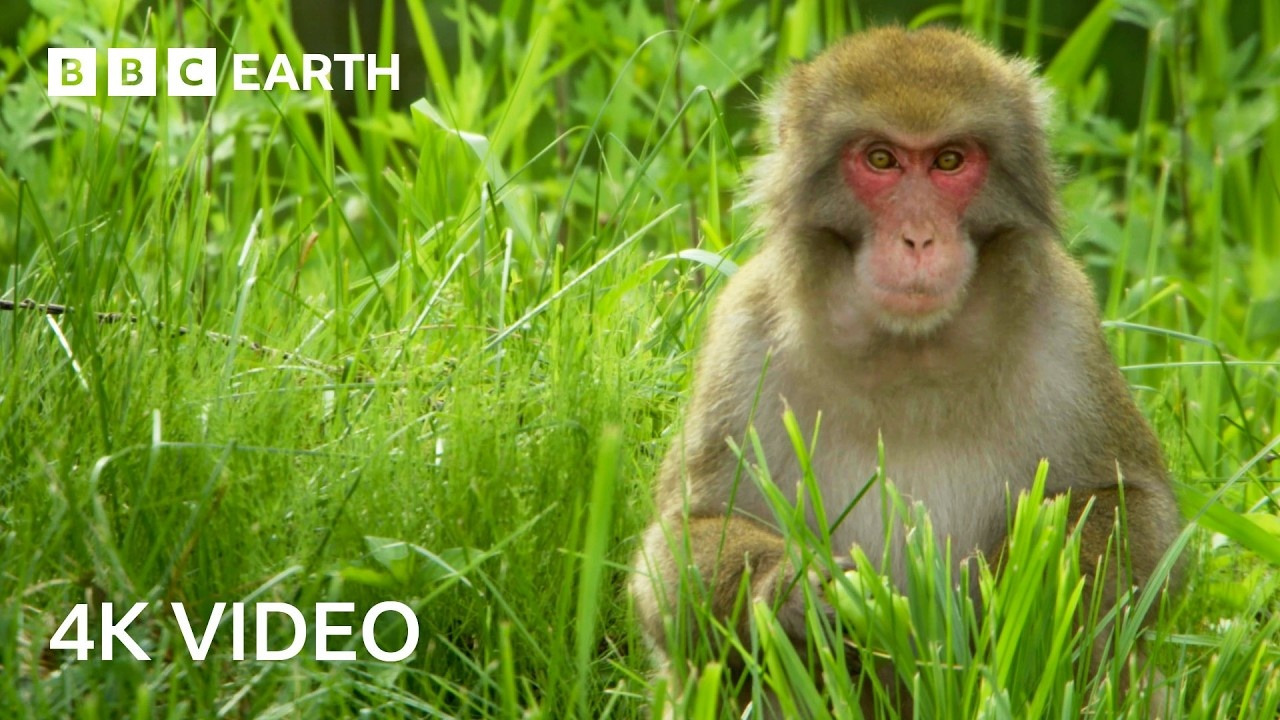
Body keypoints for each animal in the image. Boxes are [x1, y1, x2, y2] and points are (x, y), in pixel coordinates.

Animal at [630, 25, 1183, 715]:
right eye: (881, 160)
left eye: (948, 161)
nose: (918, 238)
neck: (911, 349)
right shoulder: (745, 338)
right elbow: (674, 552)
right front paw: (797, 594)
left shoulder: (1067, 328)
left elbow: (1141, 515)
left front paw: (1014, 588)